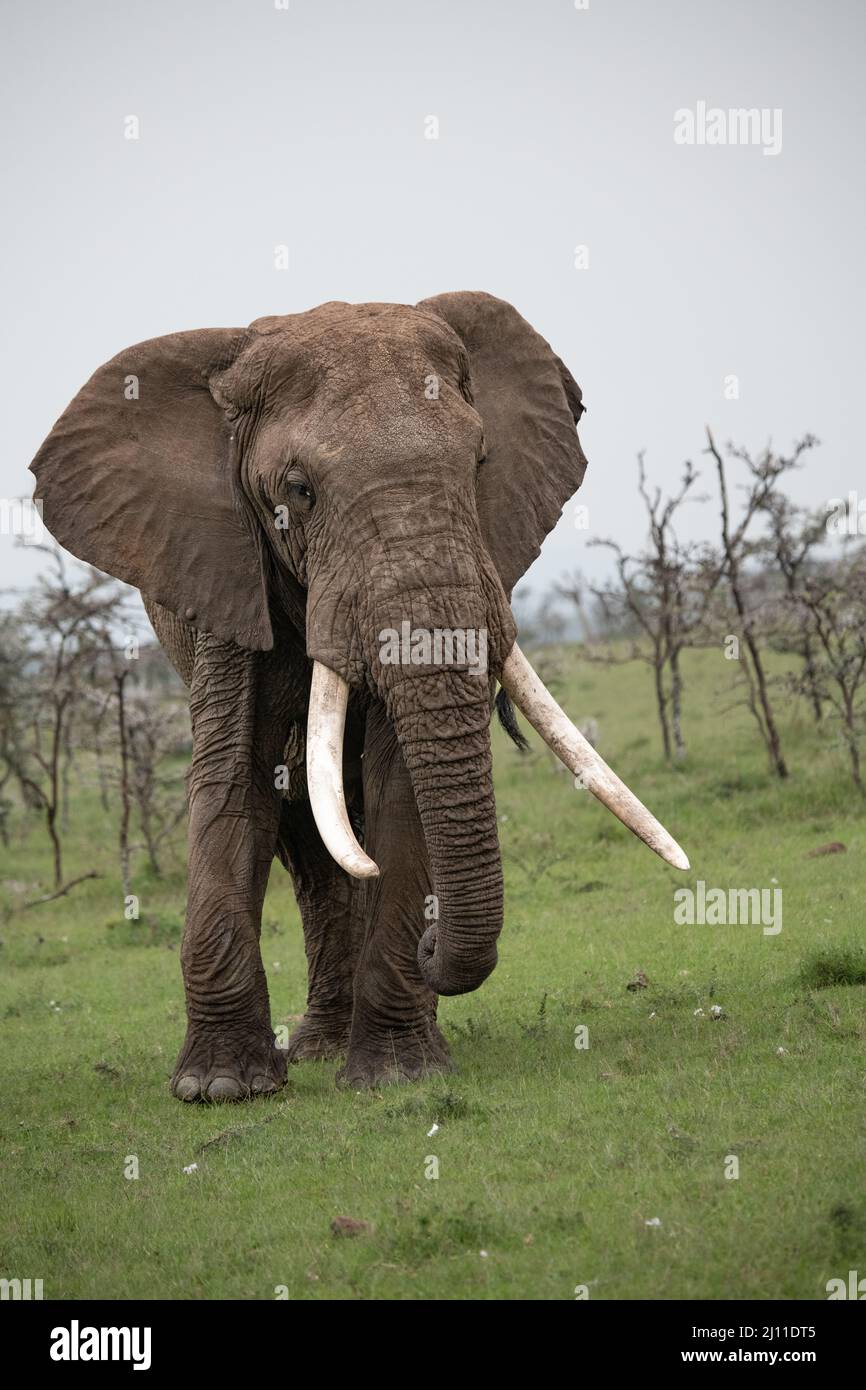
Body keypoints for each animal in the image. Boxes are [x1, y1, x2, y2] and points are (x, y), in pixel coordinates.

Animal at [30, 293, 688, 1101]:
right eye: (298, 492)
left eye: (479, 465)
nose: (436, 943)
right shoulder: (224, 567)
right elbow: (233, 777)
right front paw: (220, 1088)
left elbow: (397, 786)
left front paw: (399, 1074)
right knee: (307, 828)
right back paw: (315, 1048)